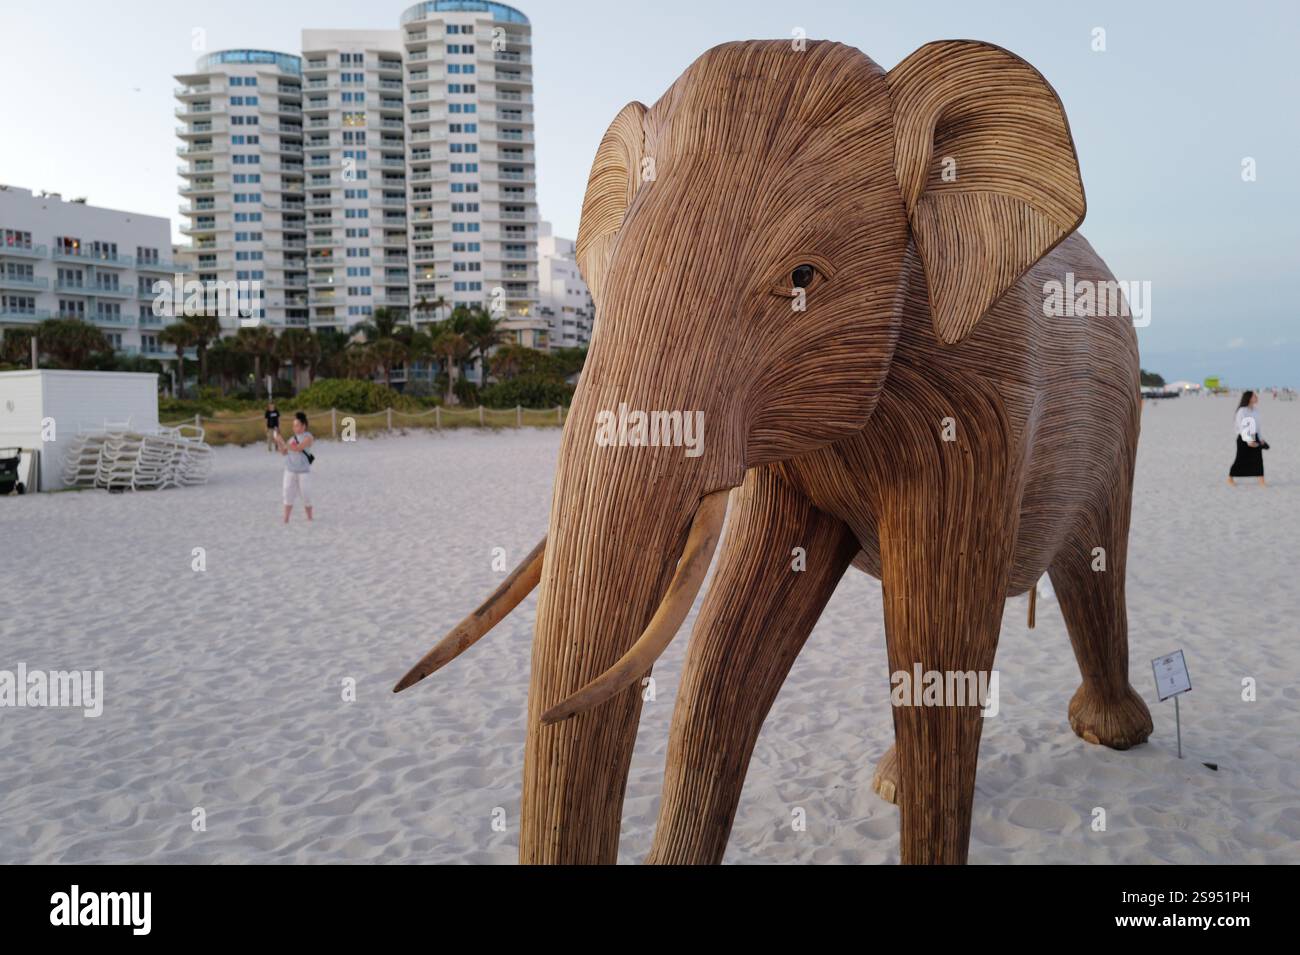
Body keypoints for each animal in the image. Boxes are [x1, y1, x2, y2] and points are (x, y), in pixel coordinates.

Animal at [395, 37, 1154, 865]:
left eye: (802, 279)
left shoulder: (979, 402)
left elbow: (935, 651)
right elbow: (722, 661)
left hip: (1120, 418)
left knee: (1091, 564)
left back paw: (1115, 734)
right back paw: (896, 781)